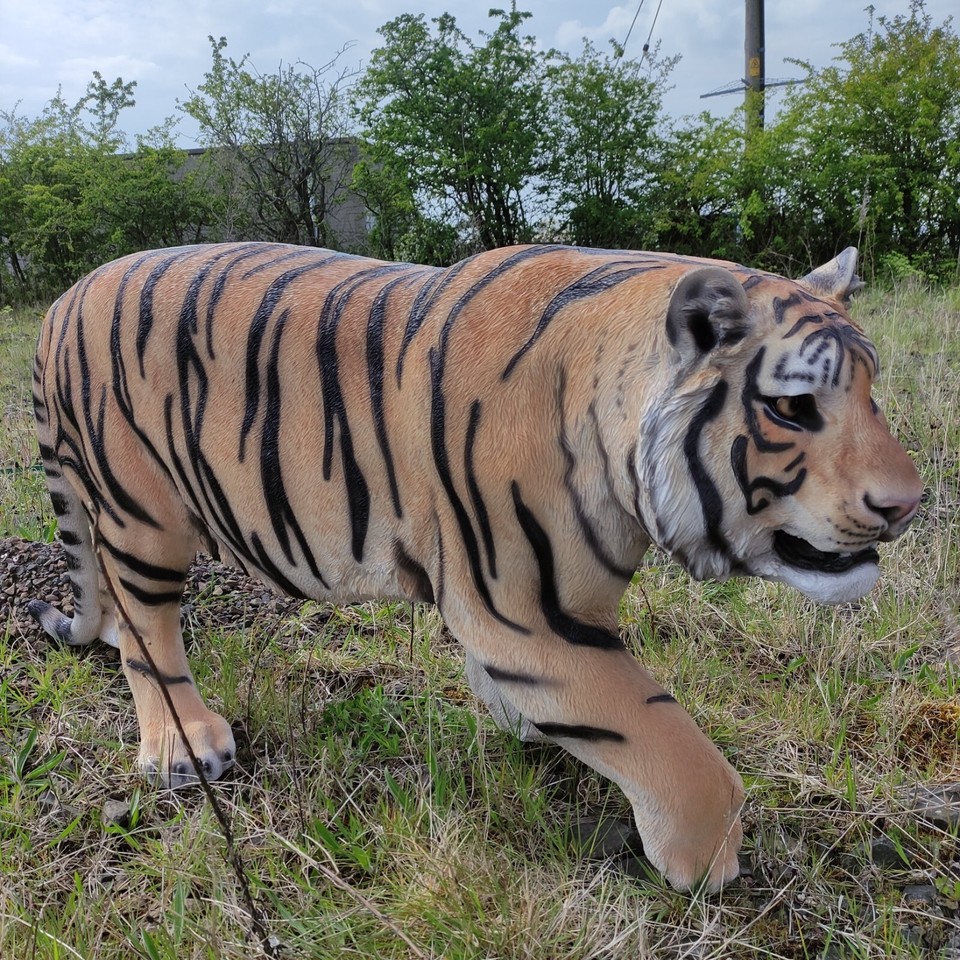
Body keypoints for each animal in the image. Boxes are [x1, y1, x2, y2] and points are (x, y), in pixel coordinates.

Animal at [27, 241, 922, 892]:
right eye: (792, 407)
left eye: (871, 391)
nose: (906, 504)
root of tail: (61, 301)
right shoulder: (517, 611)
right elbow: (672, 743)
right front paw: (706, 863)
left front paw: (525, 726)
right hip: (144, 514)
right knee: (148, 630)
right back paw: (185, 748)